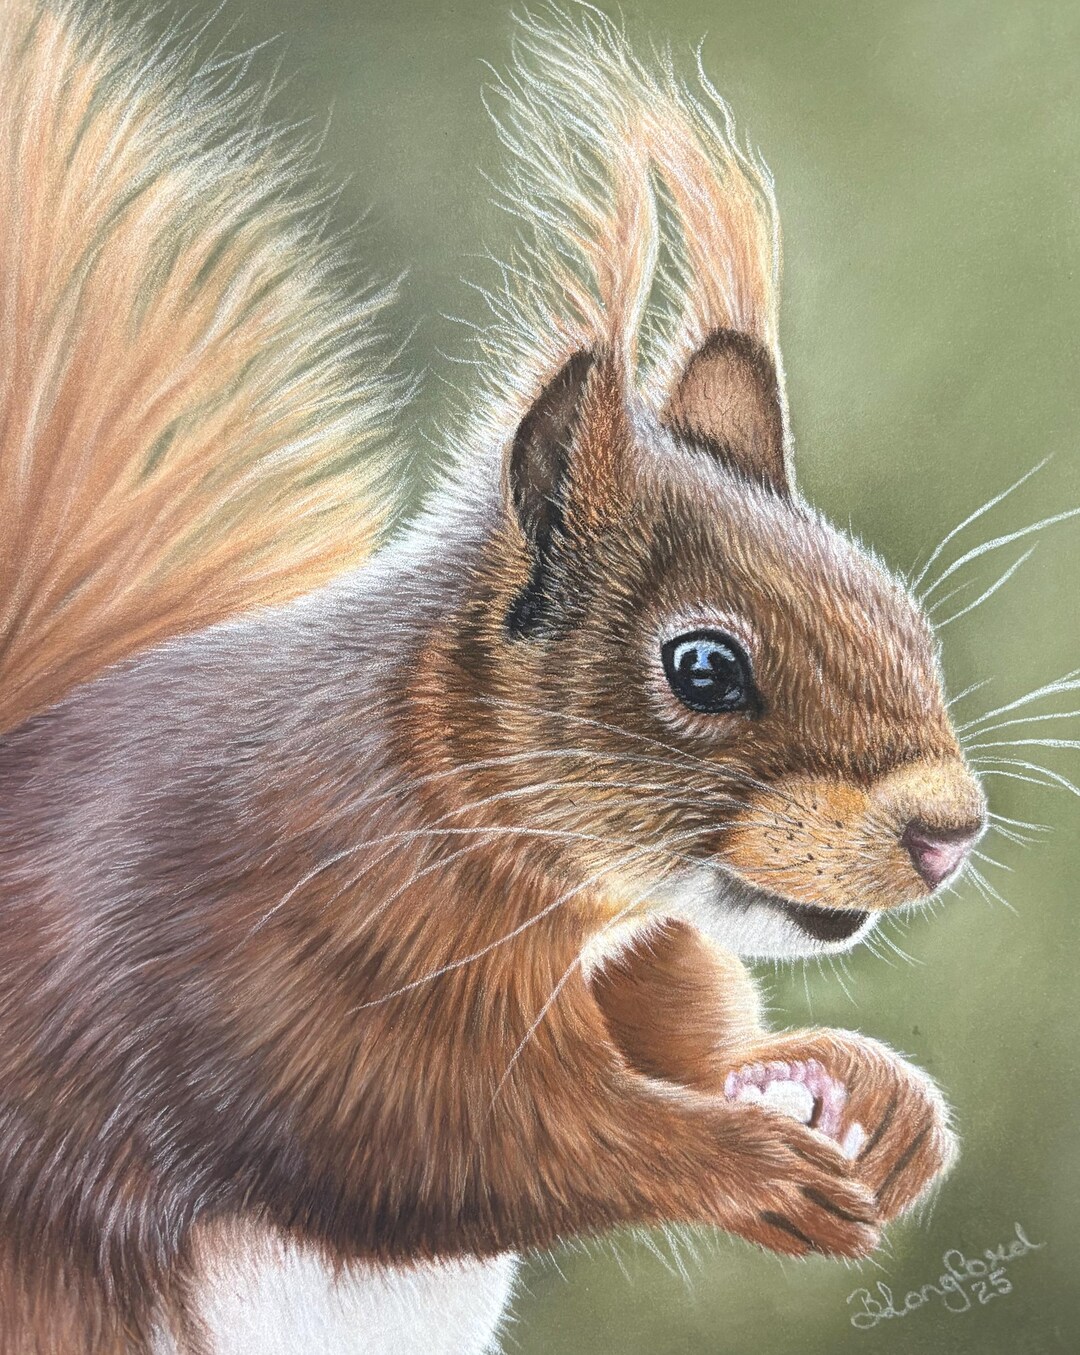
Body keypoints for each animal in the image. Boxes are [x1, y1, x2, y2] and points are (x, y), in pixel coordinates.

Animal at [0, 2, 990, 1353]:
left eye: (904, 615)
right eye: (704, 668)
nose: (952, 829)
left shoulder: (640, 961)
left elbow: (690, 1032)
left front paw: (878, 1096)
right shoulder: (274, 965)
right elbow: (452, 1136)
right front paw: (745, 1160)